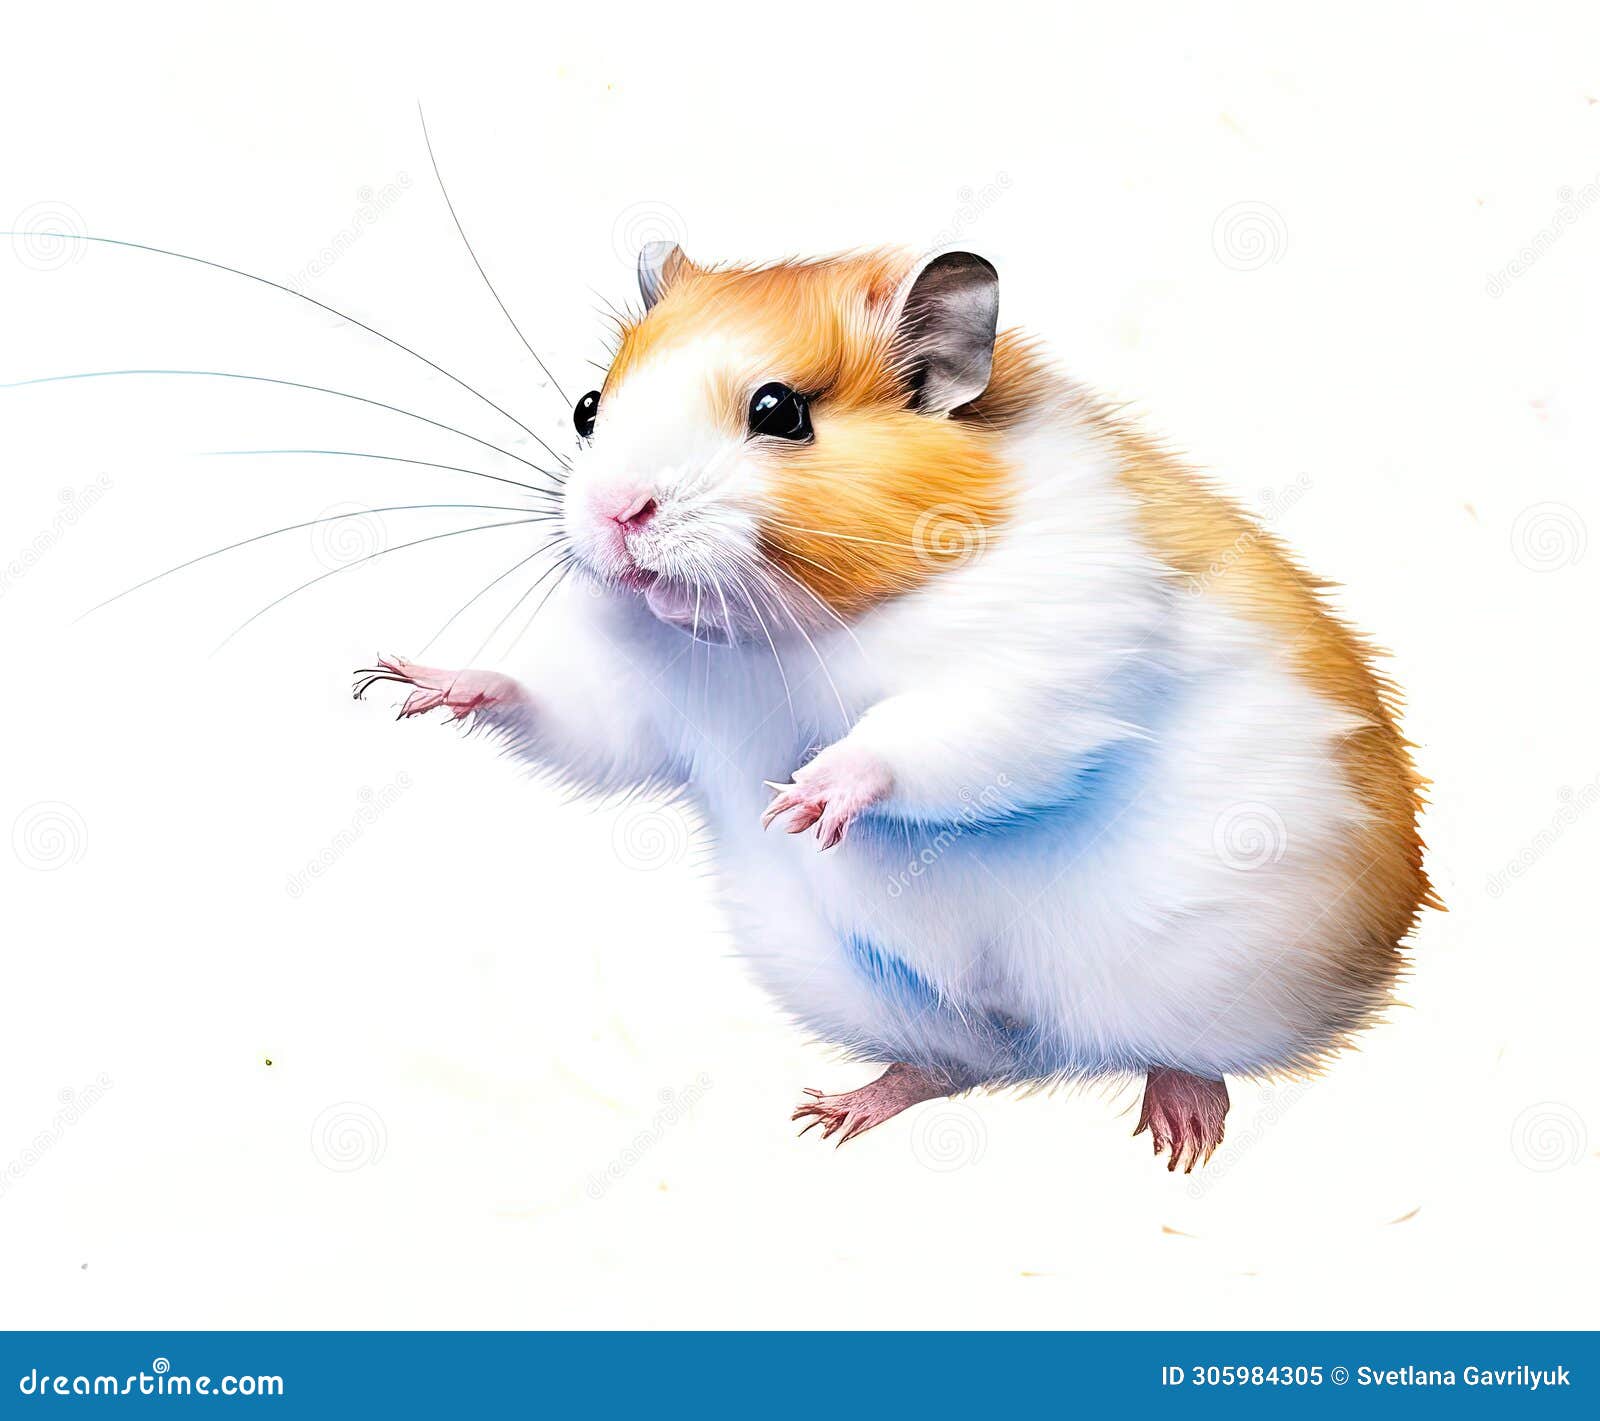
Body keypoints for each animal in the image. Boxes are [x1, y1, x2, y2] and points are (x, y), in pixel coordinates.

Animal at [356, 244, 1435, 1172]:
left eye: (780, 410)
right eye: (587, 408)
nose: (618, 513)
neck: (777, 633)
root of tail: (1045, 1040)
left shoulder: (1044, 664)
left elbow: (926, 736)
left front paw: (803, 800)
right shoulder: (632, 704)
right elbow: (560, 710)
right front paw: (413, 683)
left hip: (1212, 963)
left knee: (1185, 1054)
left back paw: (1179, 1132)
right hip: (842, 973)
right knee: (958, 1062)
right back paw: (836, 1112)